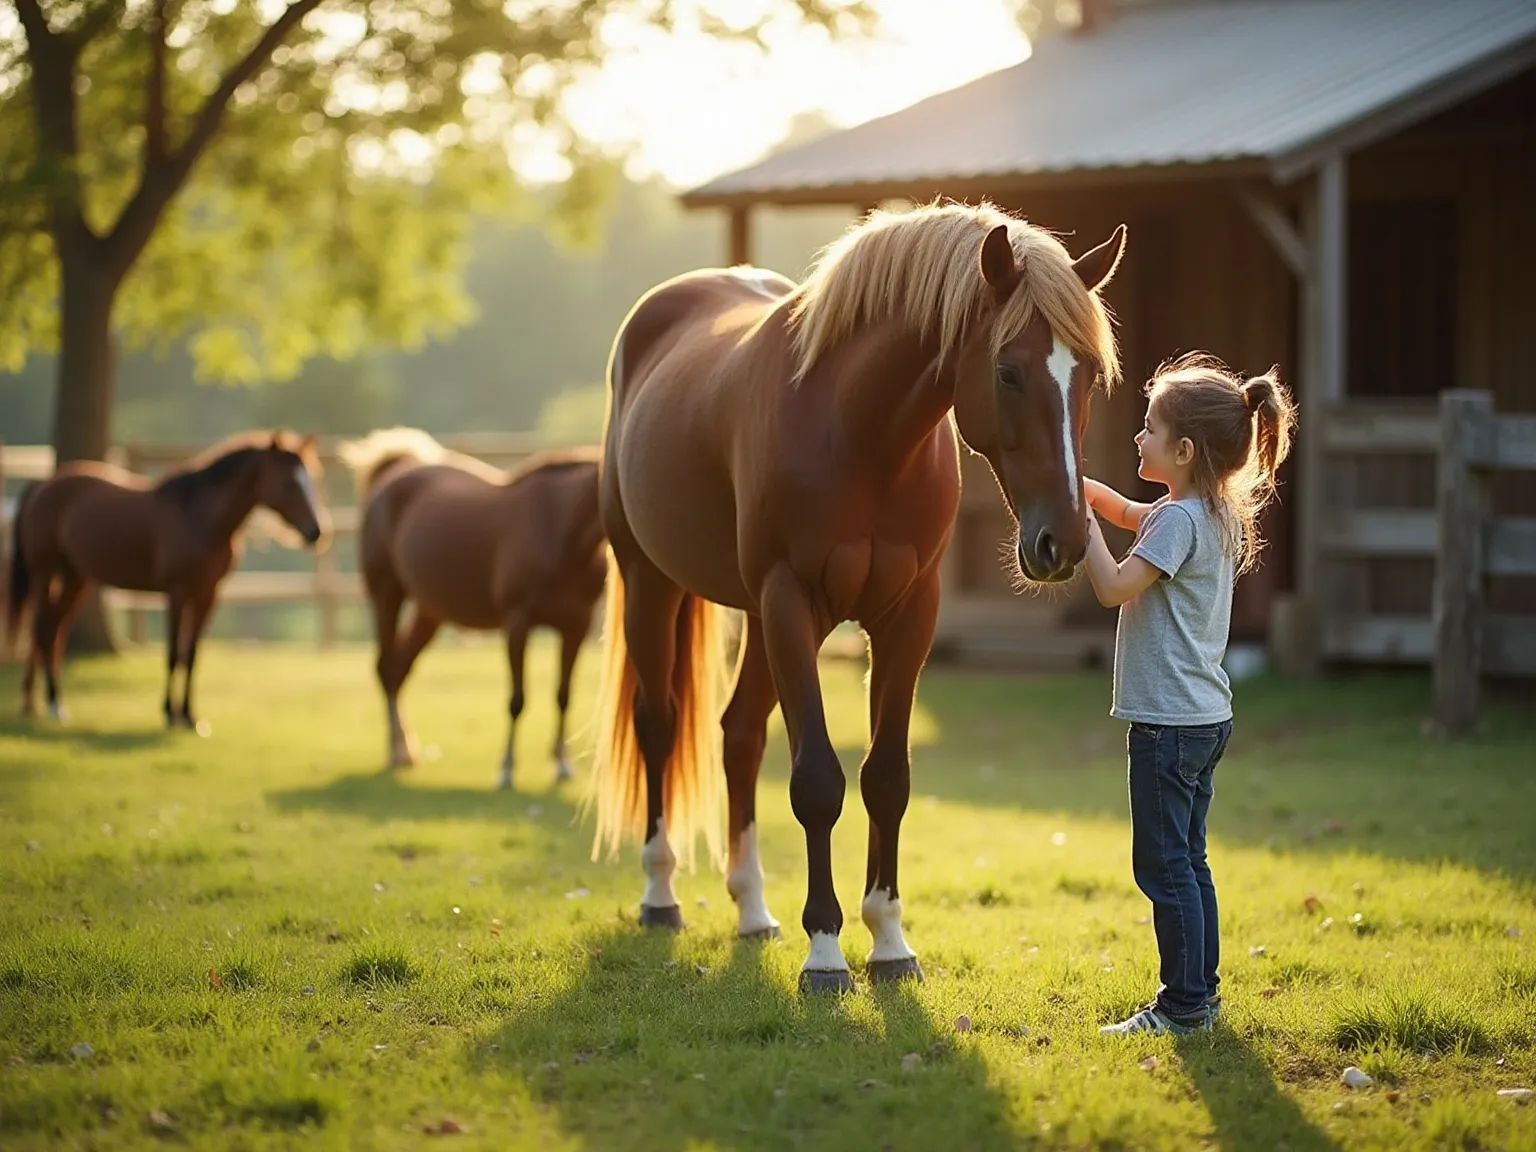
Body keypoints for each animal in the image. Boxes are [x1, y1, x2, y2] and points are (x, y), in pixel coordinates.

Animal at [6, 429, 330, 729]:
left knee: (54, 630)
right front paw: (168, 713)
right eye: (288, 482)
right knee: (42, 629)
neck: (201, 517)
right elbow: (174, 653)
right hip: (45, 572)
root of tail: (42, 485)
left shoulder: (207, 595)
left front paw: (189, 716)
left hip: (76, 578)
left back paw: (36, 702)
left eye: (311, 479)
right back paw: (52, 704)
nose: (316, 532)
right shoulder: (177, 593)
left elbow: (192, 655)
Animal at [339, 428, 606, 788]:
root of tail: (392, 474)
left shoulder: (577, 625)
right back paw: (396, 754)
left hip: (429, 612)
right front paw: (506, 768)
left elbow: (563, 695)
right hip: (386, 595)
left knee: (398, 668)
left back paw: (407, 752)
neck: (560, 528)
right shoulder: (517, 623)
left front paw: (562, 765)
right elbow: (517, 699)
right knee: (385, 669)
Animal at [588, 200, 1125, 993]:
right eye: (1008, 371)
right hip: (652, 583)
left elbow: (886, 777)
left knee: (739, 735)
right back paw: (661, 895)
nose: (1062, 542)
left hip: (756, 619)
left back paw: (752, 909)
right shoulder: (789, 599)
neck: (860, 434)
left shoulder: (907, 615)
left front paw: (890, 941)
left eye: (1088, 373)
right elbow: (817, 780)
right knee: (659, 722)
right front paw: (825, 951)